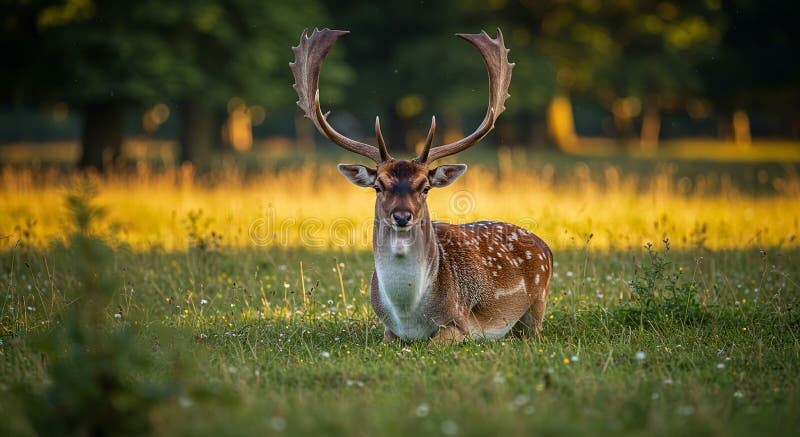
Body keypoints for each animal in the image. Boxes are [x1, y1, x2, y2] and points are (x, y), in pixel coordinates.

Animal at [291, 28, 552, 343]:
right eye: (378, 186)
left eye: (425, 187)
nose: (402, 216)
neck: (408, 317)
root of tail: (546, 247)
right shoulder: (388, 330)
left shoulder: (460, 324)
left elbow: (433, 345)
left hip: (537, 305)